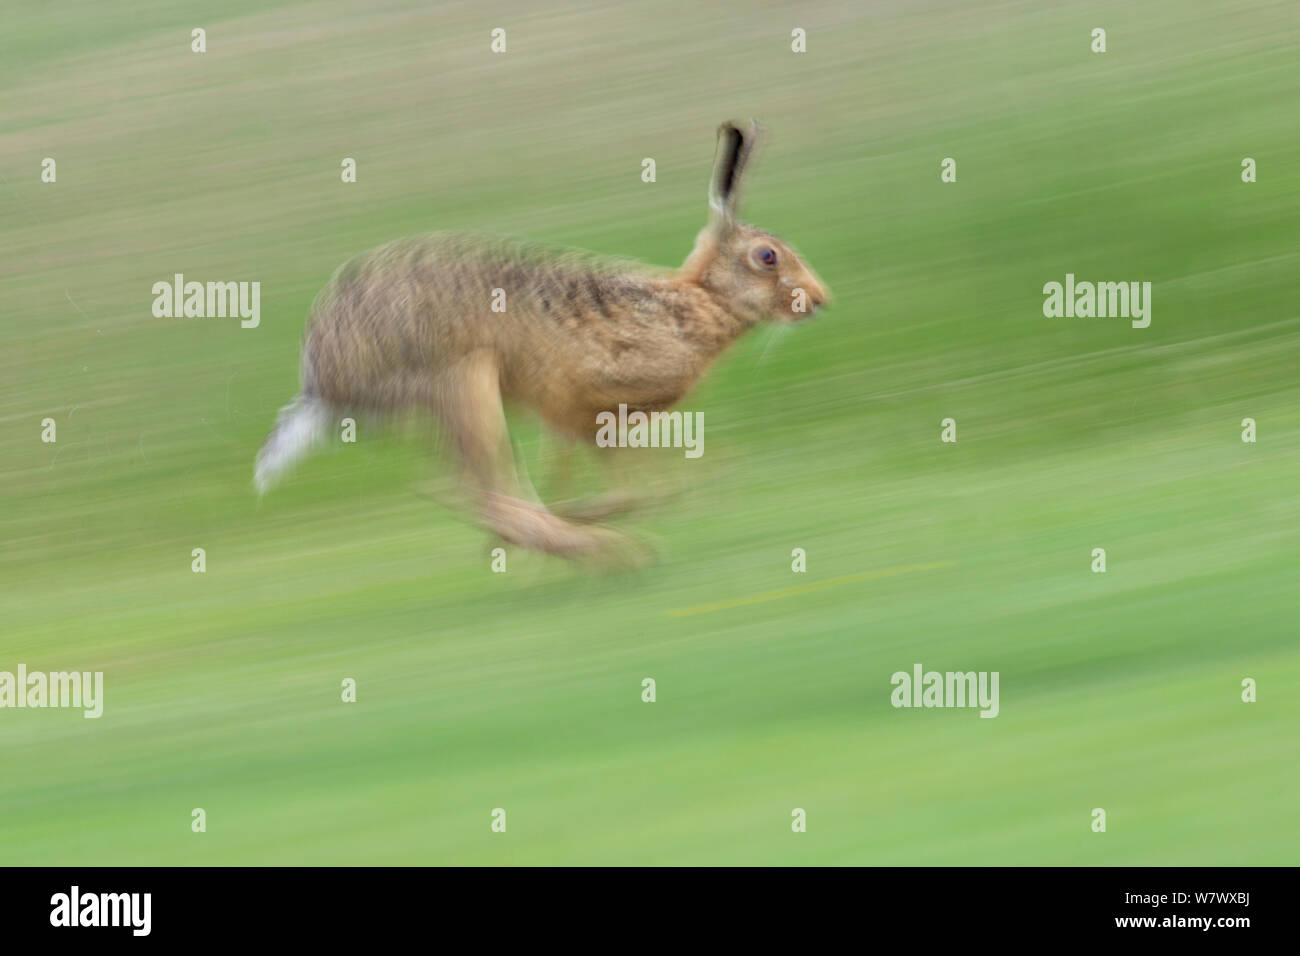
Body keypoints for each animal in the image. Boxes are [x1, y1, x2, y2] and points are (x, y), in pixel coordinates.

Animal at [254, 120, 830, 560]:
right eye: (767, 257)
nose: (821, 300)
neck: (697, 301)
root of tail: (321, 382)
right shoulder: (583, 405)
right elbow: (632, 486)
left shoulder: (585, 426)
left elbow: (624, 483)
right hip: (463, 382)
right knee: (488, 495)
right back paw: (608, 554)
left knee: (470, 491)